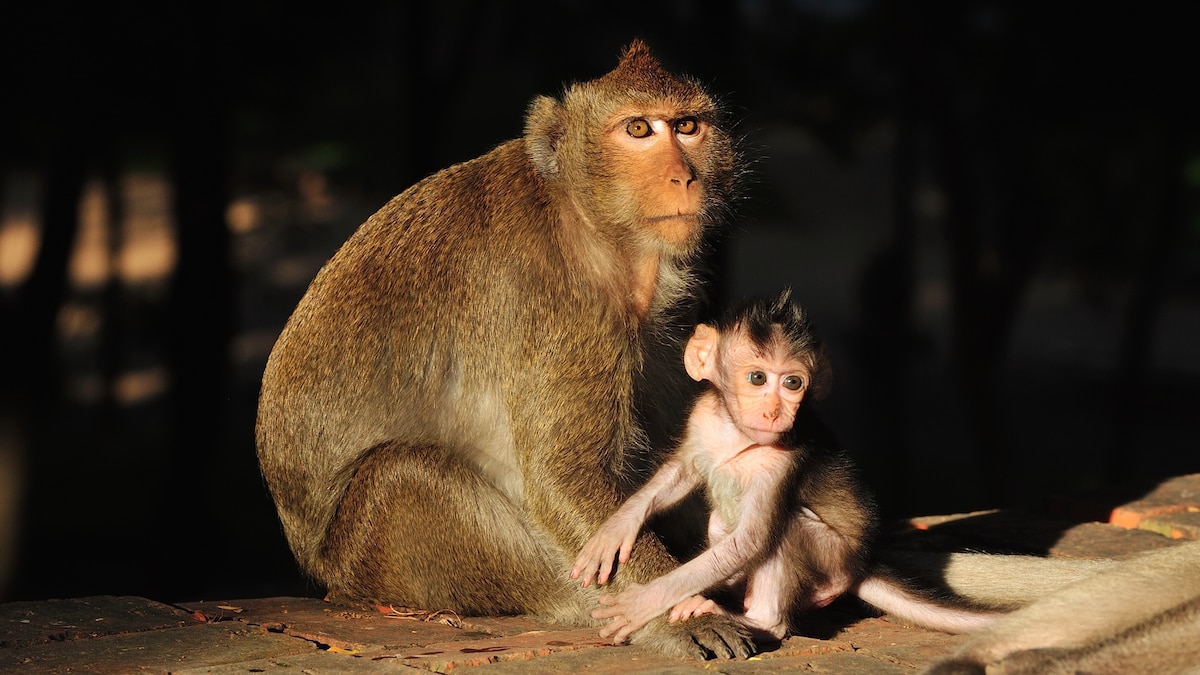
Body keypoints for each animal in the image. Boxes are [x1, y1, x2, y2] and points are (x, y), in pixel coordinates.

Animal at [254, 41, 757, 660]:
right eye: (639, 129)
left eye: (687, 126)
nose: (684, 176)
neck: (583, 218)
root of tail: (325, 575)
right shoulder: (560, 306)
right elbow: (564, 480)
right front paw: (677, 614)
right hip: (384, 562)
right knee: (402, 474)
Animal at [571, 289, 1000, 646]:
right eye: (757, 378)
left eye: (793, 383)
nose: (775, 412)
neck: (737, 436)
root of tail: (860, 565)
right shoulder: (702, 420)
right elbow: (681, 473)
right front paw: (615, 528)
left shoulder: (779, 460)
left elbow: (752, 541)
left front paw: (644, 601)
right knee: (722, 525)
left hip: (832, 559)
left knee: (786, 527)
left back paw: (759, 621)